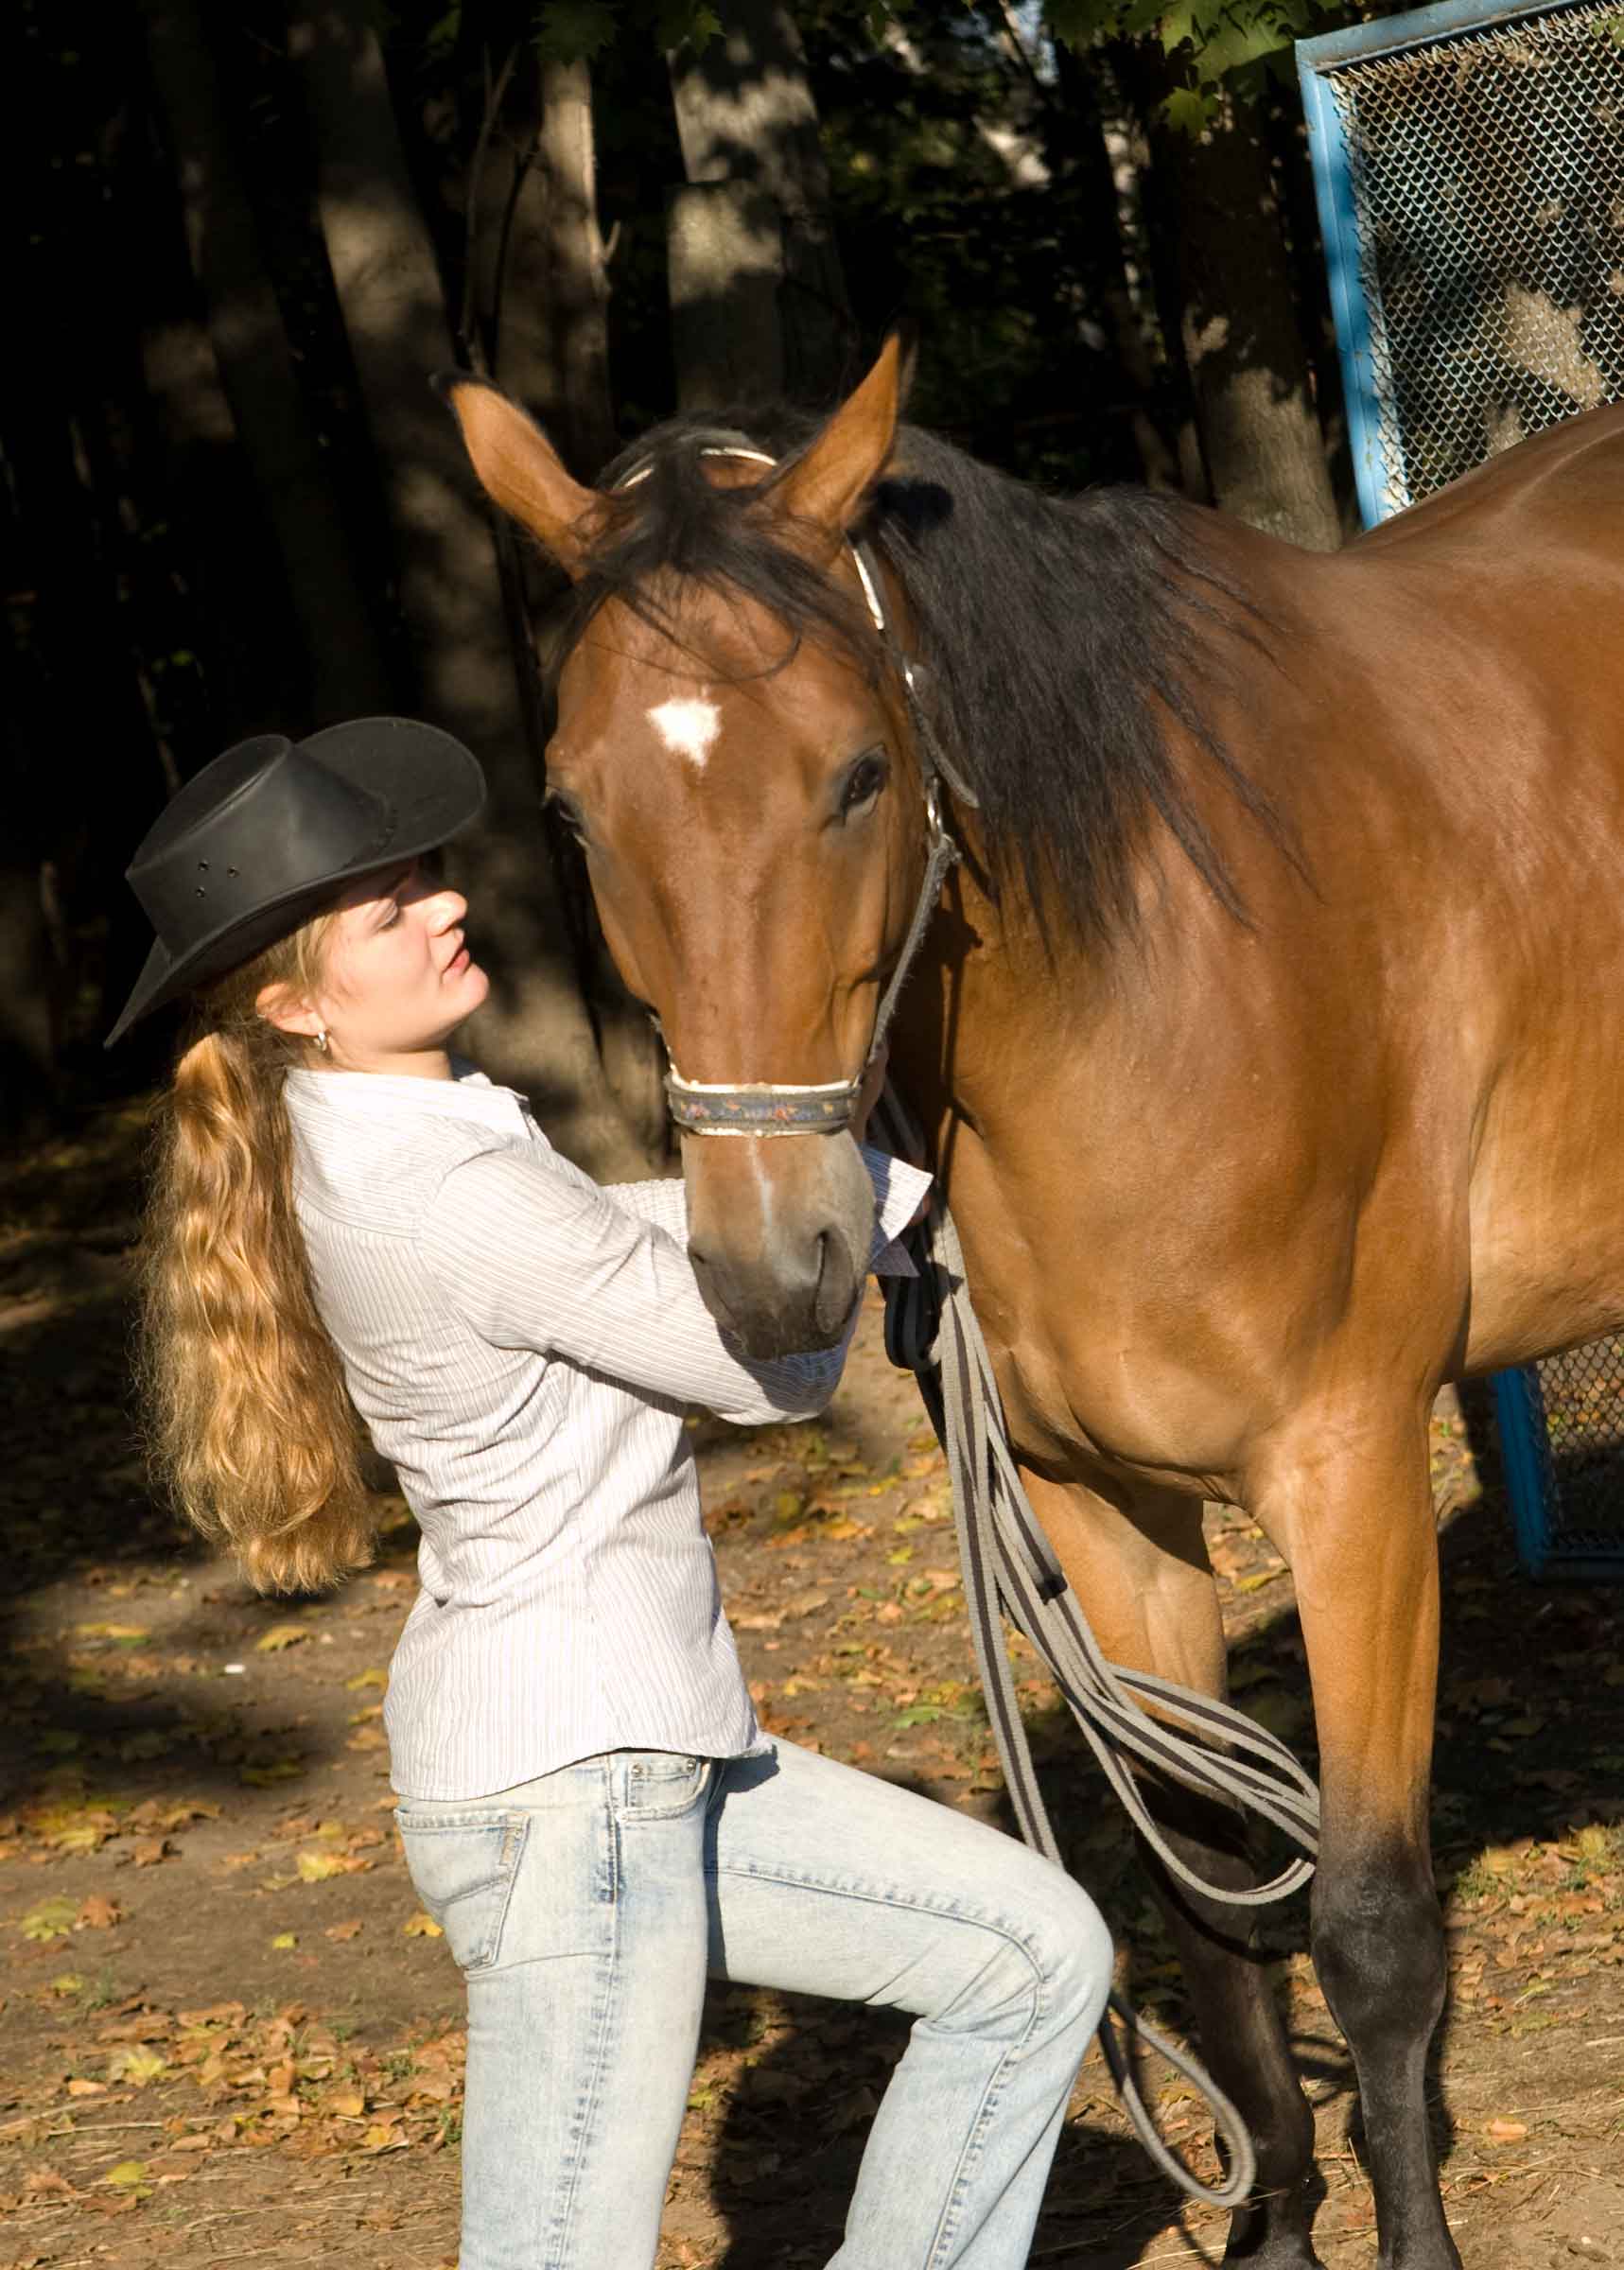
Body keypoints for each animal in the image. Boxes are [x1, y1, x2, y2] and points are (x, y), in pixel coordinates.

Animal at [441, 336, 1624, 2270]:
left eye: (859, 773)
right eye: (569, 804)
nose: (771, 1259)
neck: (1160, 975)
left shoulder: (1355, 1479)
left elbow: (1371, 1926)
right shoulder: (1097, 1507)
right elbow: (1208, 1908)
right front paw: (1271, 2230)